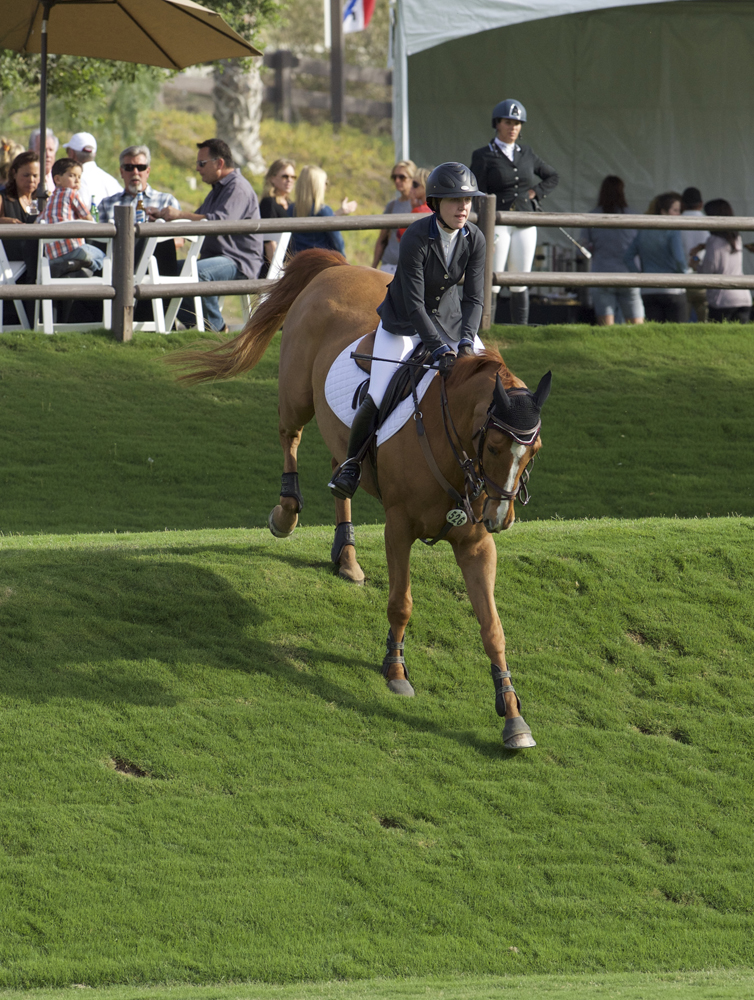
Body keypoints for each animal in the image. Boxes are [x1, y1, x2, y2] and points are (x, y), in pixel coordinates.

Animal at [170, 249, 551, 749]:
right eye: (491, 446)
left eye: (534, 449)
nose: (499, 516)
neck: (450, 445)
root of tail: (338, 266)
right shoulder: (399, 527)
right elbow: (401, 602)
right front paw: (395, 672)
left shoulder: (475, 545)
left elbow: (493, 628)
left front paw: (512, 715)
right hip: (296, 394)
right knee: (290, 437)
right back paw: (285, 514)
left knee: (340, 468)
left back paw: (346, 554)